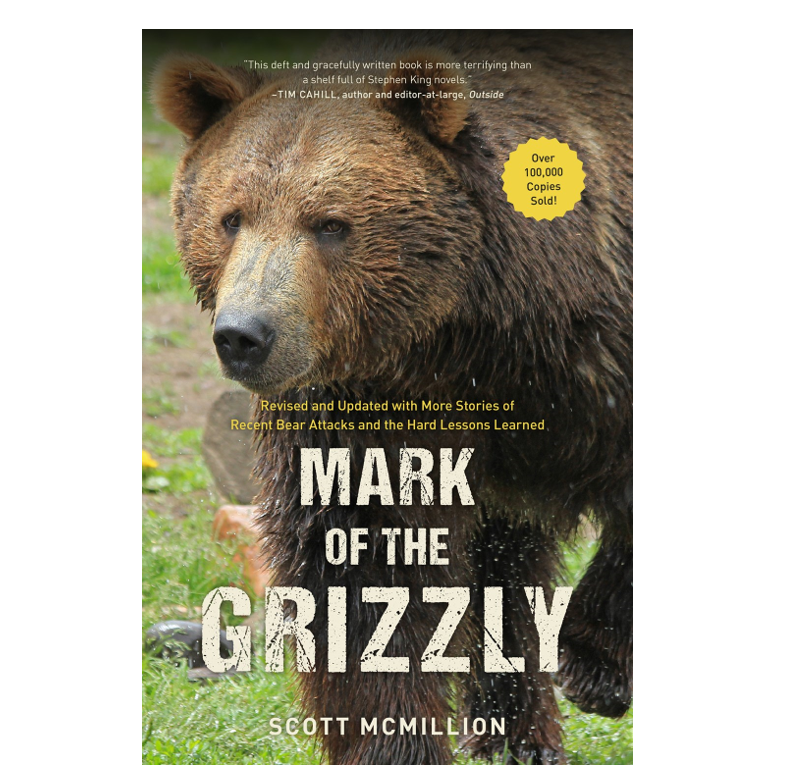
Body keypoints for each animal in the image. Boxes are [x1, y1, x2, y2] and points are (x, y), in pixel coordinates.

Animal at [152, 30, 632, 765]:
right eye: (230, 217)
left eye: (329, 223)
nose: (244, 335)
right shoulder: (361, 406)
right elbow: (361, 564)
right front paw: (394, 739)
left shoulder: (597, 352)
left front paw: (593, 663)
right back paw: (510, 731)